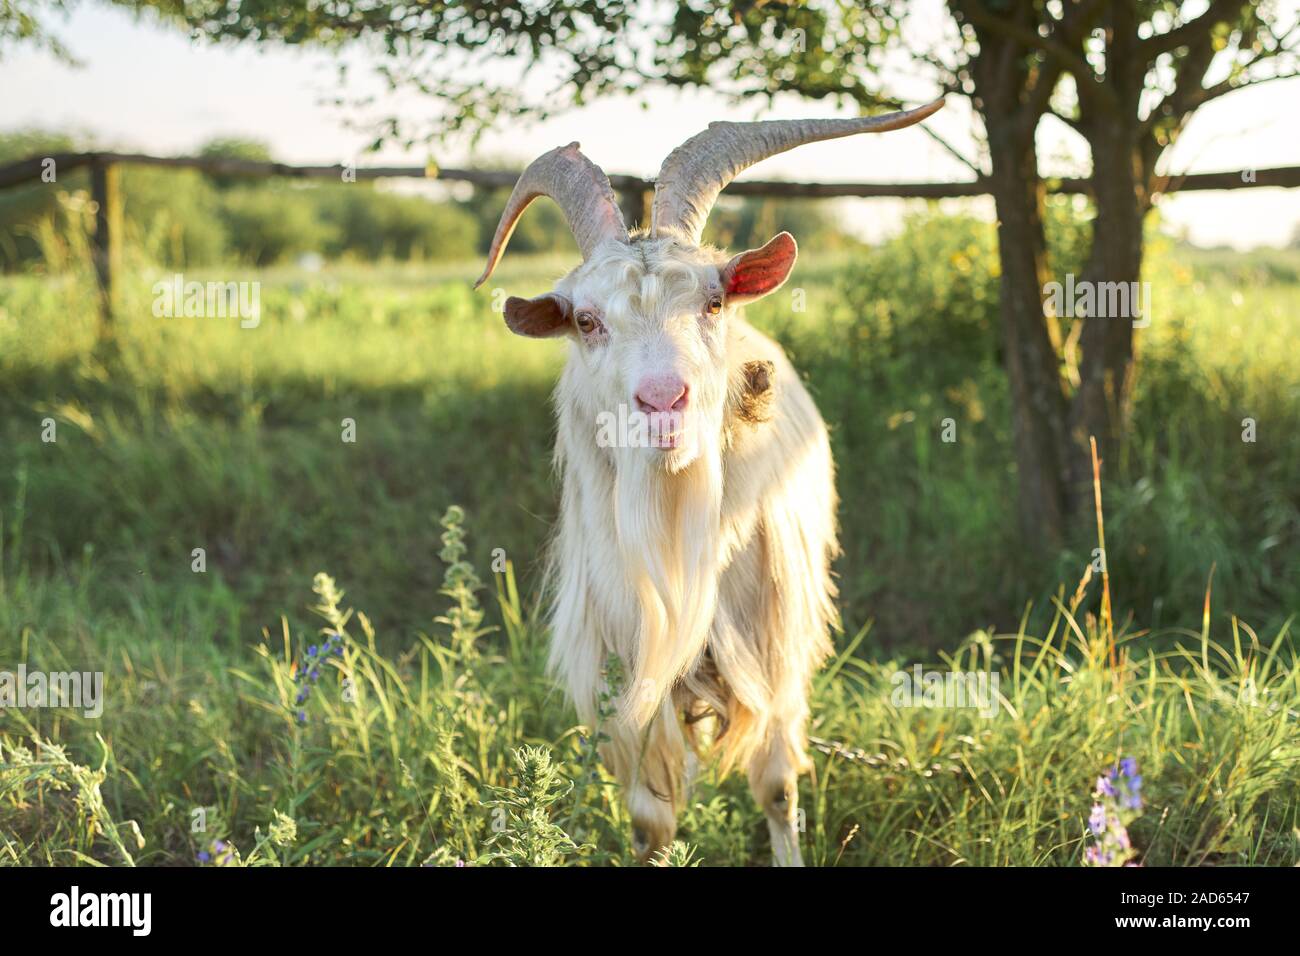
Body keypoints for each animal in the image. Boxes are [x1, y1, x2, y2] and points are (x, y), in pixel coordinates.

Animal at [475, 100, 943, 865]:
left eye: (715, 301)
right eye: (586, 320)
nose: (665, 401)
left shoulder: (772, 646)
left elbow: (777, 789)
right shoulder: (623, 673)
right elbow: (651, 821)